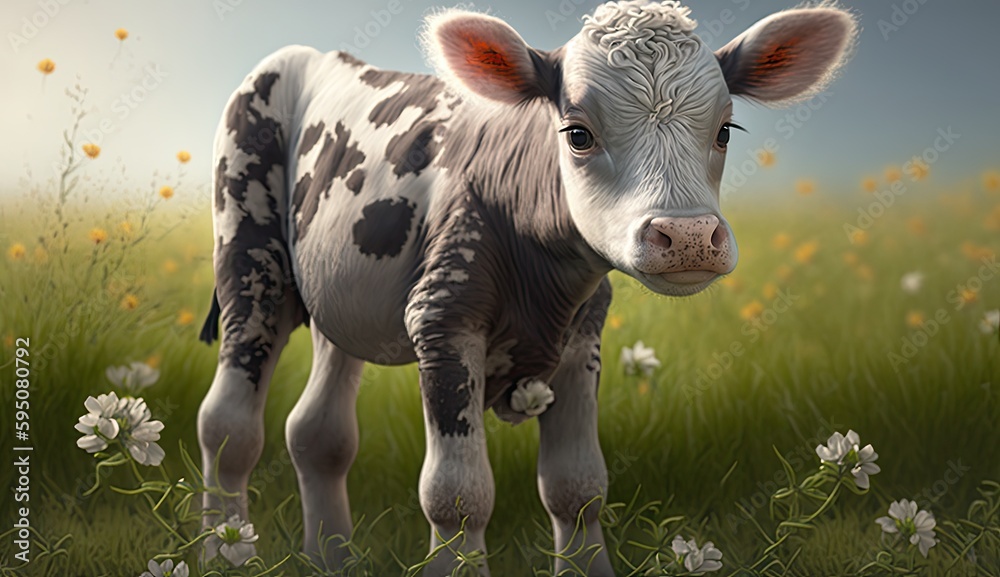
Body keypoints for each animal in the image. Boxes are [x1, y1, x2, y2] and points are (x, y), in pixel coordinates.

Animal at [196, 1, 857, 574]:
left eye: (725, 130)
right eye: (578, 133)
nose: (689, 236)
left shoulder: (581, 333)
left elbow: (577, 486)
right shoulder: (443, 318)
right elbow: (457, 495)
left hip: (340, 297)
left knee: (318, 433)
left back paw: (329, 559)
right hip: (250, 259)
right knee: (228, 424)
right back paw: (224, 552)